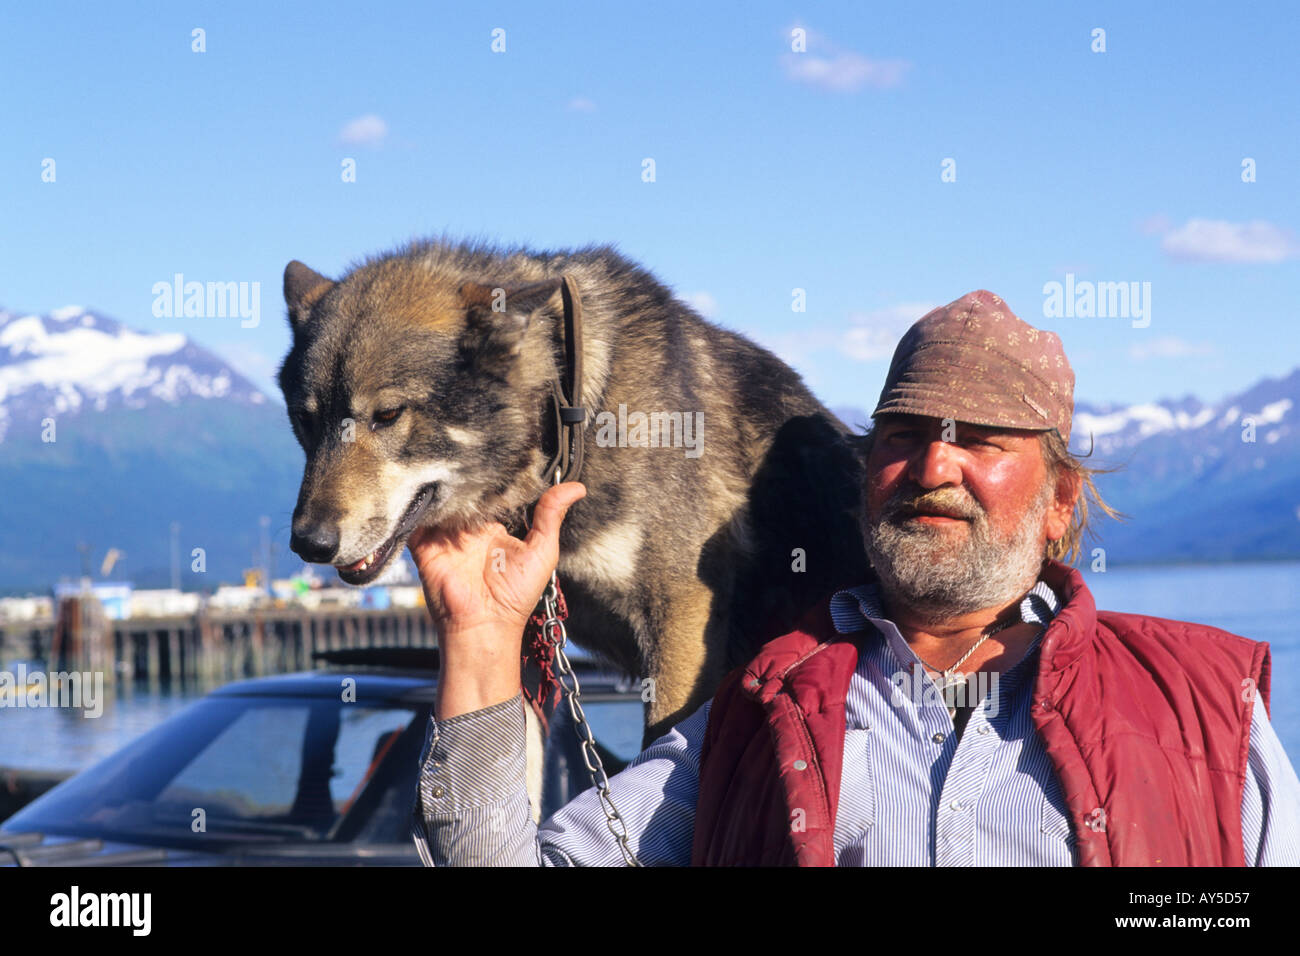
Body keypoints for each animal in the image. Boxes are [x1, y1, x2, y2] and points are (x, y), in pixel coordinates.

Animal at [278, 237, 868, 746]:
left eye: (387, 415)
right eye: (306, 420)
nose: (308, 543)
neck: (572, 418)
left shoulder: (678, 619)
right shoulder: (519, 640)